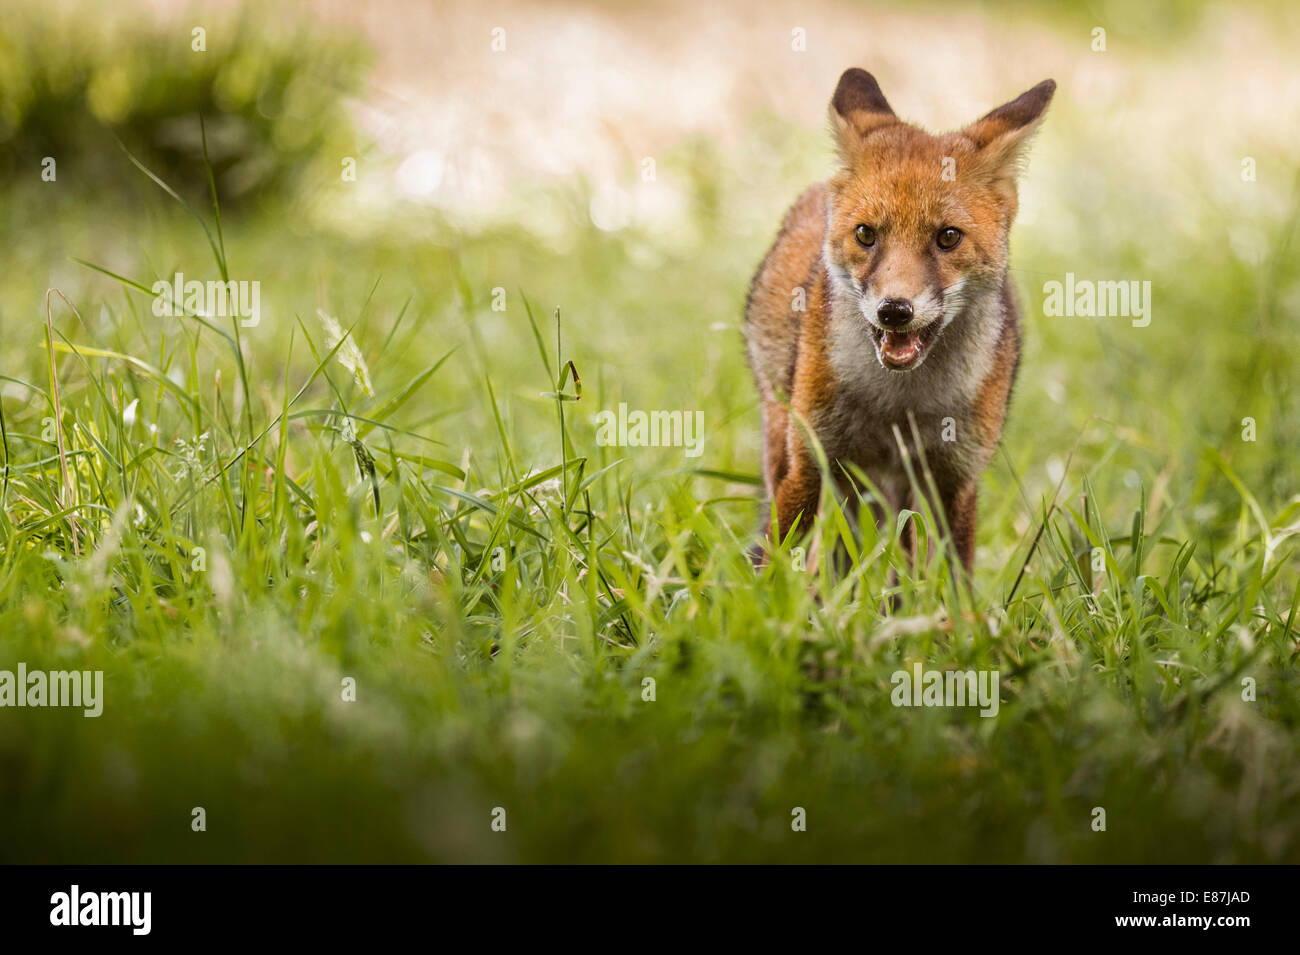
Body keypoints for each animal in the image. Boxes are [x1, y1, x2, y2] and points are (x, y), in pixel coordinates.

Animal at [744, 68, 1055, 574]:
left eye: (948, 237)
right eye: (865, 234)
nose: (894, 310)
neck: (898, 404)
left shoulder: (955, 477)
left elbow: (954, 579)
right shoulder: (812, 459)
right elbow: (775, 564)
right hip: (792, 443)